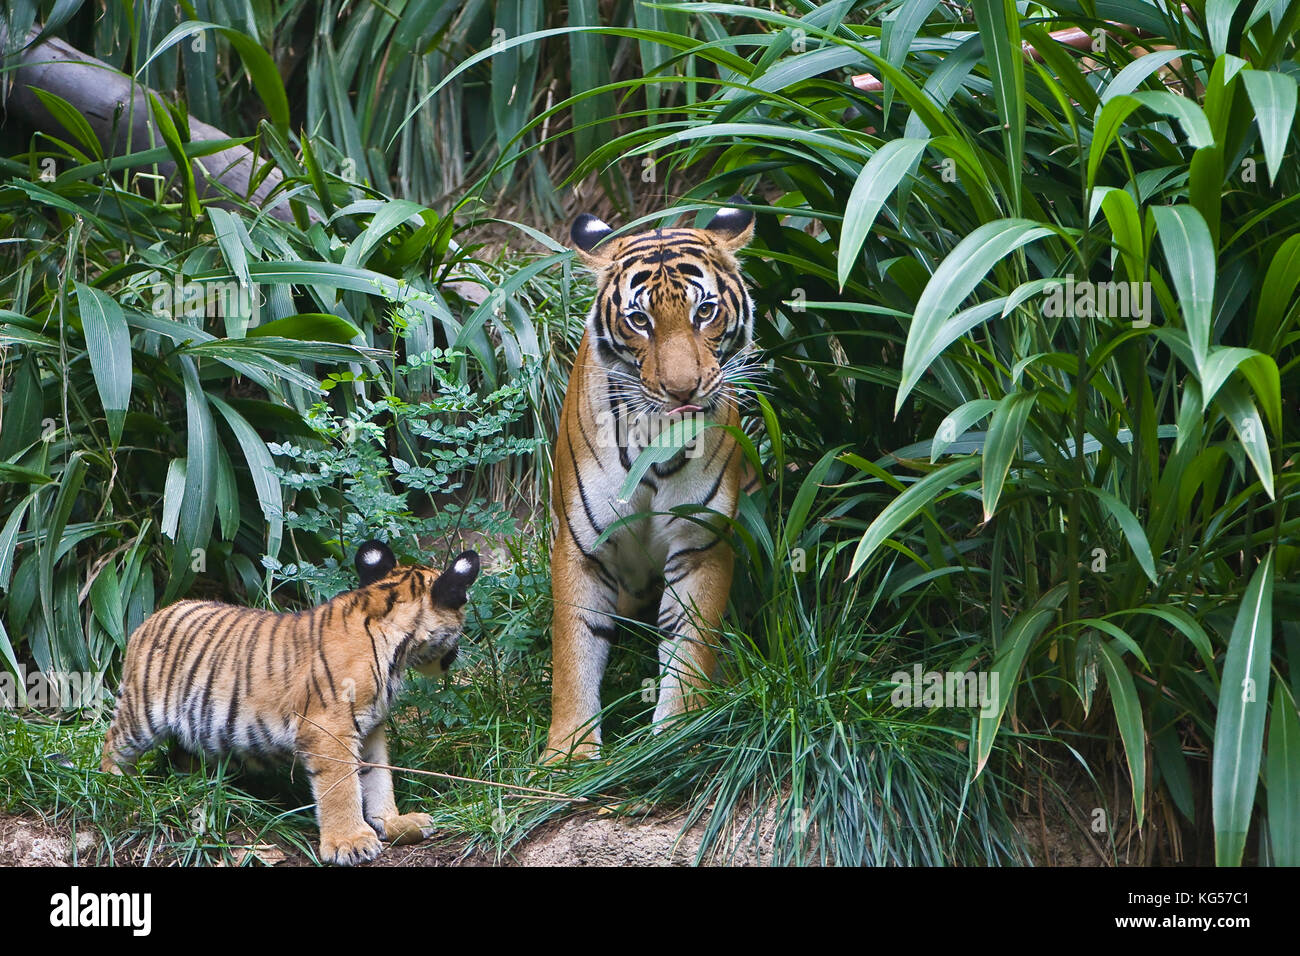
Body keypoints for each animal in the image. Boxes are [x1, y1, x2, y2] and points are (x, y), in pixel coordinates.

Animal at [101, 541, 480, 866]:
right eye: (463, 602)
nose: (458, 654)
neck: (398, 650)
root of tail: (151, 618)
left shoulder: (370, 727)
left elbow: (377, 777)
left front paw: (395, 823)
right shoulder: (330, 728)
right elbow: (341, 786)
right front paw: (350, 843)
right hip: (142, 715)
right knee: (112, 744)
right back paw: (119, 786)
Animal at [545, 197, 758, 762]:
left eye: (704, 311)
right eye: (639, 320)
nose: (682, 389)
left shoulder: (701, 544)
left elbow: (690, 646)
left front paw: (677, 736)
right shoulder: (582, 546)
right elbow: (574, 652)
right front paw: (568, 756)